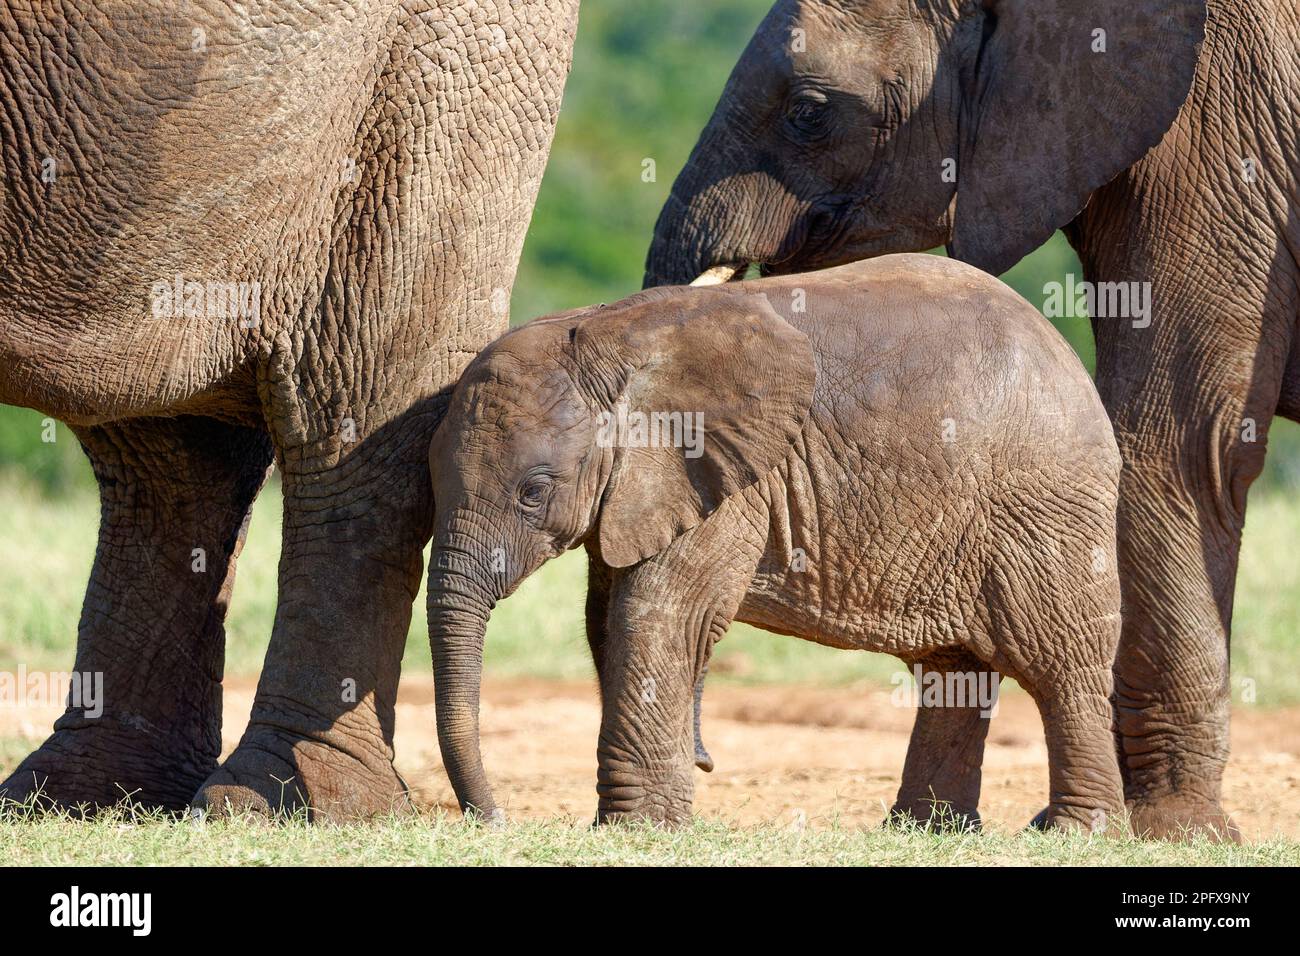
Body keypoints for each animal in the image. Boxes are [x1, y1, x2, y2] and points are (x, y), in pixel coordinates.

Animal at [0, 0, 580, 820]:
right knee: (164, 449)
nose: (494, 820)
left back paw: (284, 804)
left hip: (434, 73)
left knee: (354, 401)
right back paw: (81, 800)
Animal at [427, 254, 1126, 830]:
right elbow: (606, 616)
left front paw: (637, 832)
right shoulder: (643, 488)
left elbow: (661, 614)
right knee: (952, 672)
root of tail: (1065, 353)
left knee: (1061, 661)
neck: (606, 336)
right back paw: (925, 832)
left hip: (1045, 505)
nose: (495, 822)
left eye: (533, 492)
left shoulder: (724, 478)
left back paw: (1071, 832)